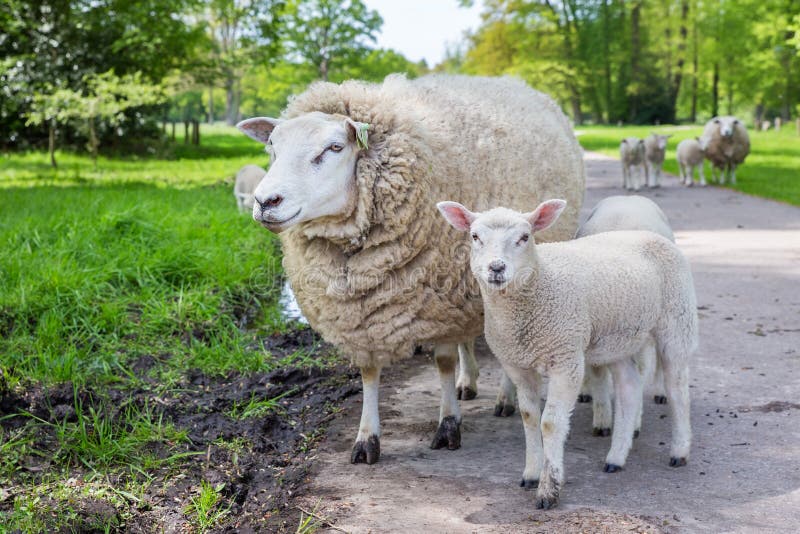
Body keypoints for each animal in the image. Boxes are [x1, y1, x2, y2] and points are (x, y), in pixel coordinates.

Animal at [236, 74, 585, 464]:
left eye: (334, 148)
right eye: (273, 147)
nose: (265, 201)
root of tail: (510, 82)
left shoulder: (443, 296)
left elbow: (444, 361)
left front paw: (448, 425)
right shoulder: (364, 314)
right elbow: (369, 372)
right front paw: (366, 438)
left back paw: (505, 397)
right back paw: (469, 382)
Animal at [438, 199, 697, 509]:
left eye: (524, 237)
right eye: (475, 236)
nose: (496, 267)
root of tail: (650, 234)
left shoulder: (566, 359)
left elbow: (550, 423)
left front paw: (549, 488)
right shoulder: (517, 365)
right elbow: (529, 417)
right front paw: (531, 473)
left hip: (676, 320)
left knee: (677, 388)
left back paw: (679, 451)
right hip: (617, 338)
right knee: (630, 387)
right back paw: (616, 457)